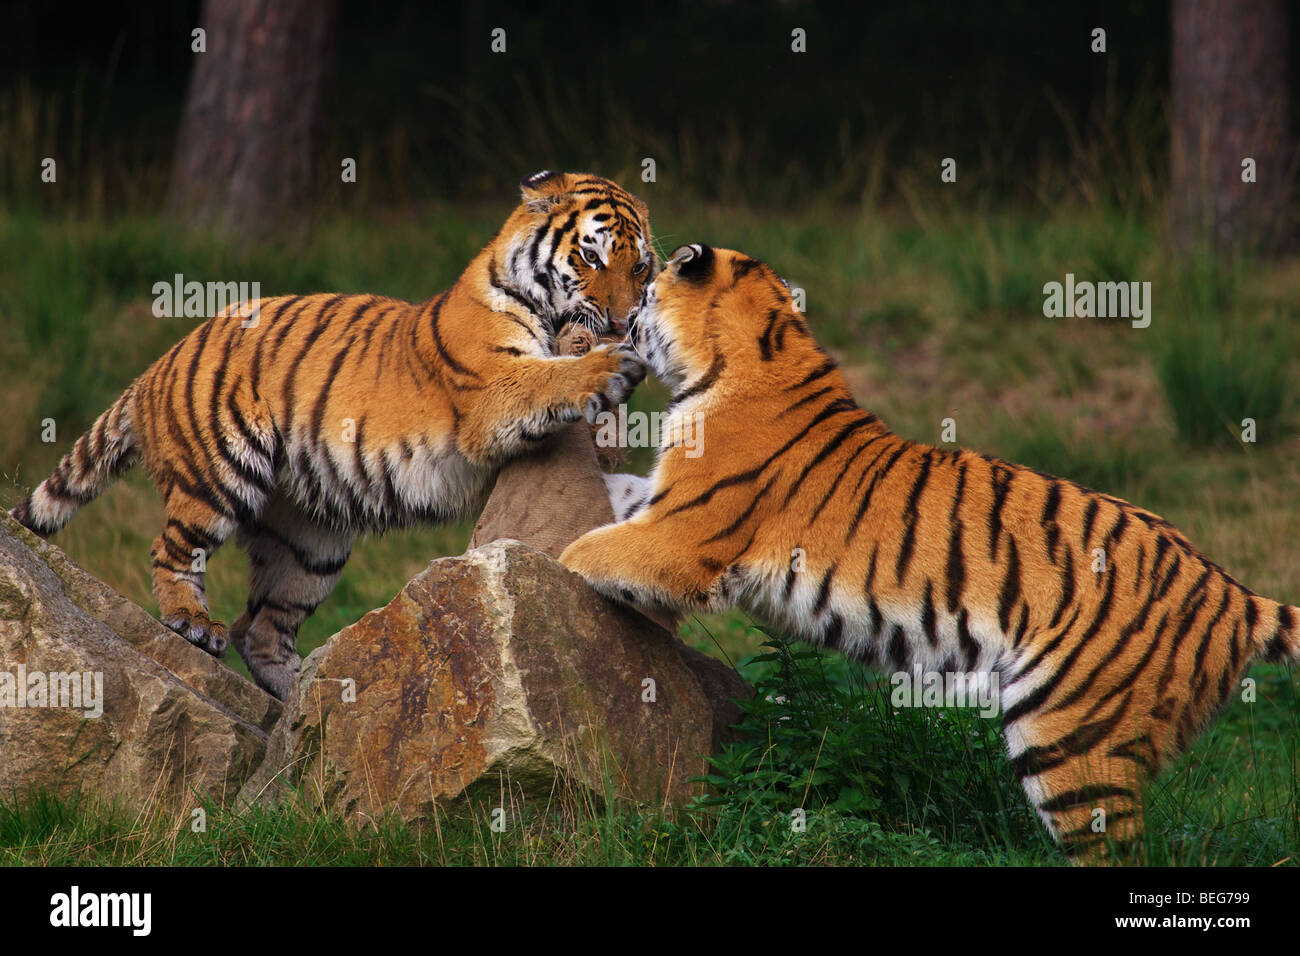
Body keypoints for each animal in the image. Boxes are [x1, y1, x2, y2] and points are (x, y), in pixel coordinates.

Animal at [10, 171, 653, 702]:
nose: (625, 322)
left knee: (260, 629)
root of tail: (157, 365)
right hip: (216, 474)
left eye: (641, 268)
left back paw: (313, 696)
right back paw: (193, 623)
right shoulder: (492, 391)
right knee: (172, 553)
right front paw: (610, 366)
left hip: (313, 543)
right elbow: (551, 378)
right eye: (591, 256)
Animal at [560, 242, 1300, 862]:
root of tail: (1232, 591)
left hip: (1074, 739)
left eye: (645, 285)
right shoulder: (662, 508)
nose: (616, 320)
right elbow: (614, 497)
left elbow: (583, 552)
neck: (755, 348)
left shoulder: (681, 536)